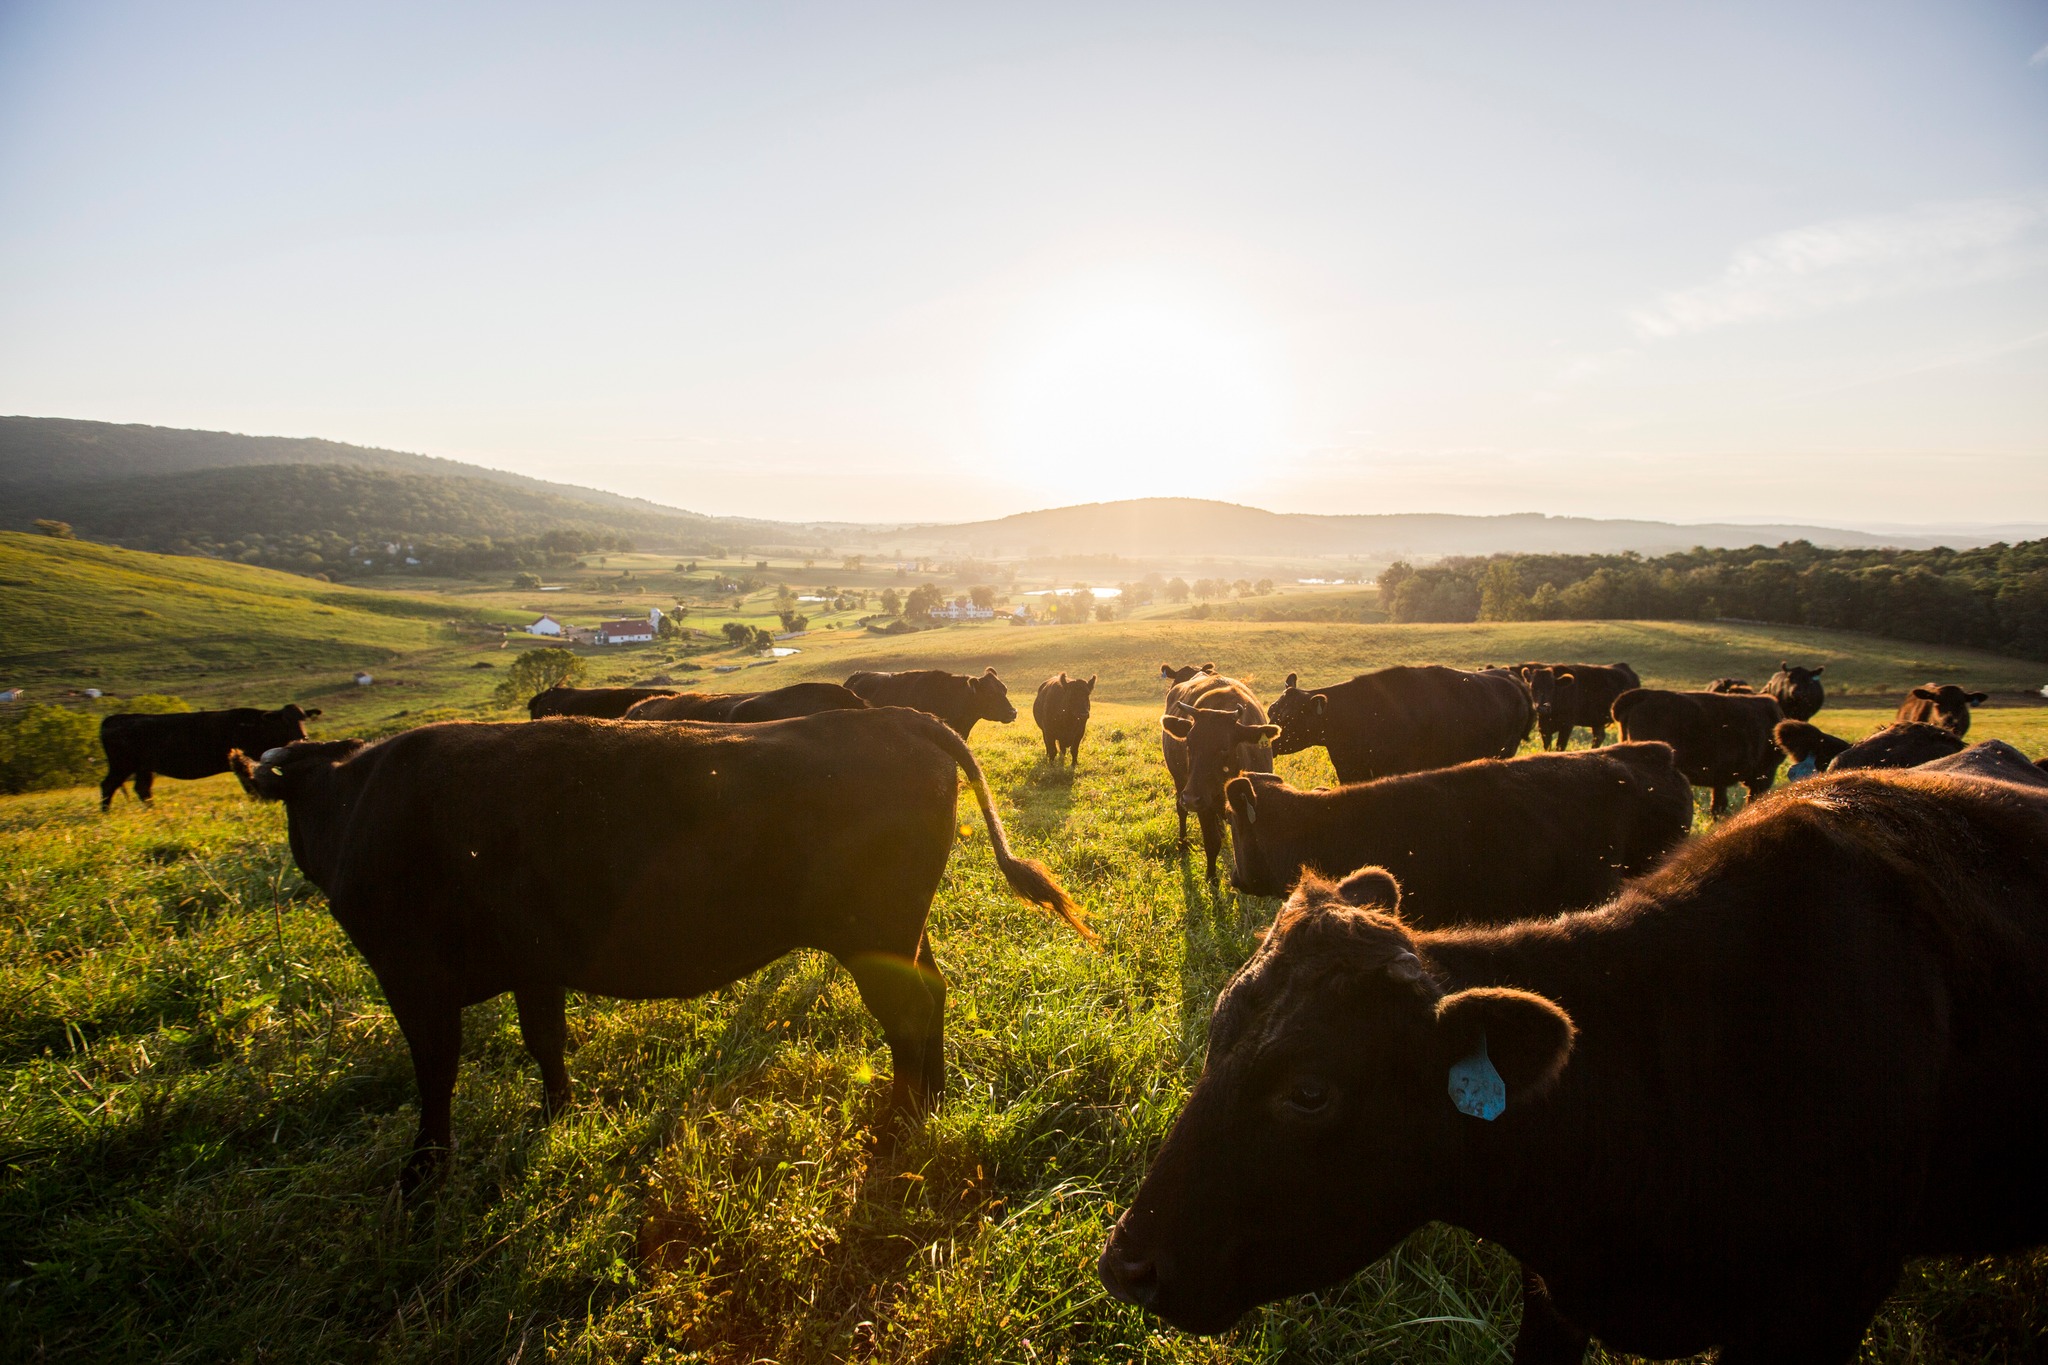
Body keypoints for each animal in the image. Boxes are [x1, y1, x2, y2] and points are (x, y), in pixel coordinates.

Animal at [99, 704, 321, 811]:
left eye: (304, 718)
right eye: (283, 720)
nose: (303, 736)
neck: (258, 725)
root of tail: (113, 719)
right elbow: (250, 785)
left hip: (143, 766)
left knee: (142, 789)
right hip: (122, 764)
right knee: (108, 785)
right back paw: (105, 813)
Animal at [230, 709, 1088, 1190]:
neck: (355, 795)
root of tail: (901, 716)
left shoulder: (412, 974)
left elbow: (436, 1073)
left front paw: (422, 1174)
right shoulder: (533, 961)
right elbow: (545, 1039)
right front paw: (558, 1113)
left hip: (871, 927)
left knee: (910, 1010)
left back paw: (901, 1118)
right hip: (899, 928)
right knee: (932, 994)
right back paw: (929, 1101)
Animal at [1159, 670, 1275, 883]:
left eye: (1224, 748)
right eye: (1188, 744)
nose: (1191, 799)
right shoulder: (1203, 805)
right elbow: (1212, 842)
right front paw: (1211, 878)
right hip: (1181, 783)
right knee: (1181, 811)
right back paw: (1183, 844)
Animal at [1512, 663, 1641, 748]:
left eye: (1552, 687)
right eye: (1532, 687)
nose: (1543, 707)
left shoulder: (1567, 726)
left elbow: (1560, 747)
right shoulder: (1543, 728)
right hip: (1597, 721)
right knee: (1598, 737)